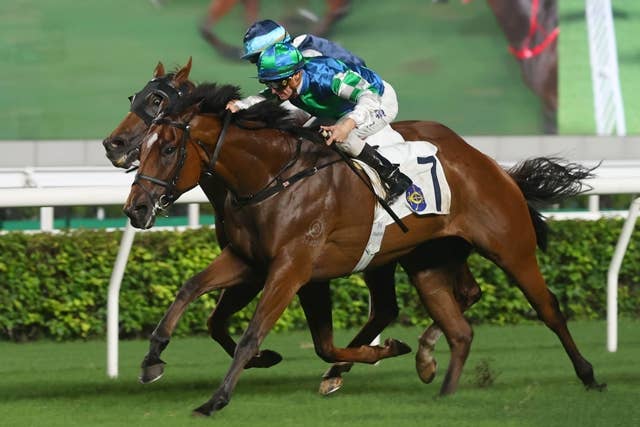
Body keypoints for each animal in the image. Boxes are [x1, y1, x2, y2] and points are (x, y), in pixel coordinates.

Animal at [103, 59, 483, 392]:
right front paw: (260, 356)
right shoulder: (251, 260)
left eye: (157, 99)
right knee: (440, 297)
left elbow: (230, 322)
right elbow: (211, 316)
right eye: (133, 97)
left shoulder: (280, 268)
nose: (112, 145)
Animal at [123, 82, 604, 415]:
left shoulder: (292, 267)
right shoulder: (250, 261)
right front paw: (152, 358)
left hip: (510, 248)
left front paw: (217, 399)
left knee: (548, 308)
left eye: (169, 148)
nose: (136, 207)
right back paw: (434, 377)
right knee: (459, 323)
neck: (272, 177)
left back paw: (589, 375)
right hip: (427, 263)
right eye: (143, 146)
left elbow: (253, 333)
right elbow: (190, 290)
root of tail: (490, 165)